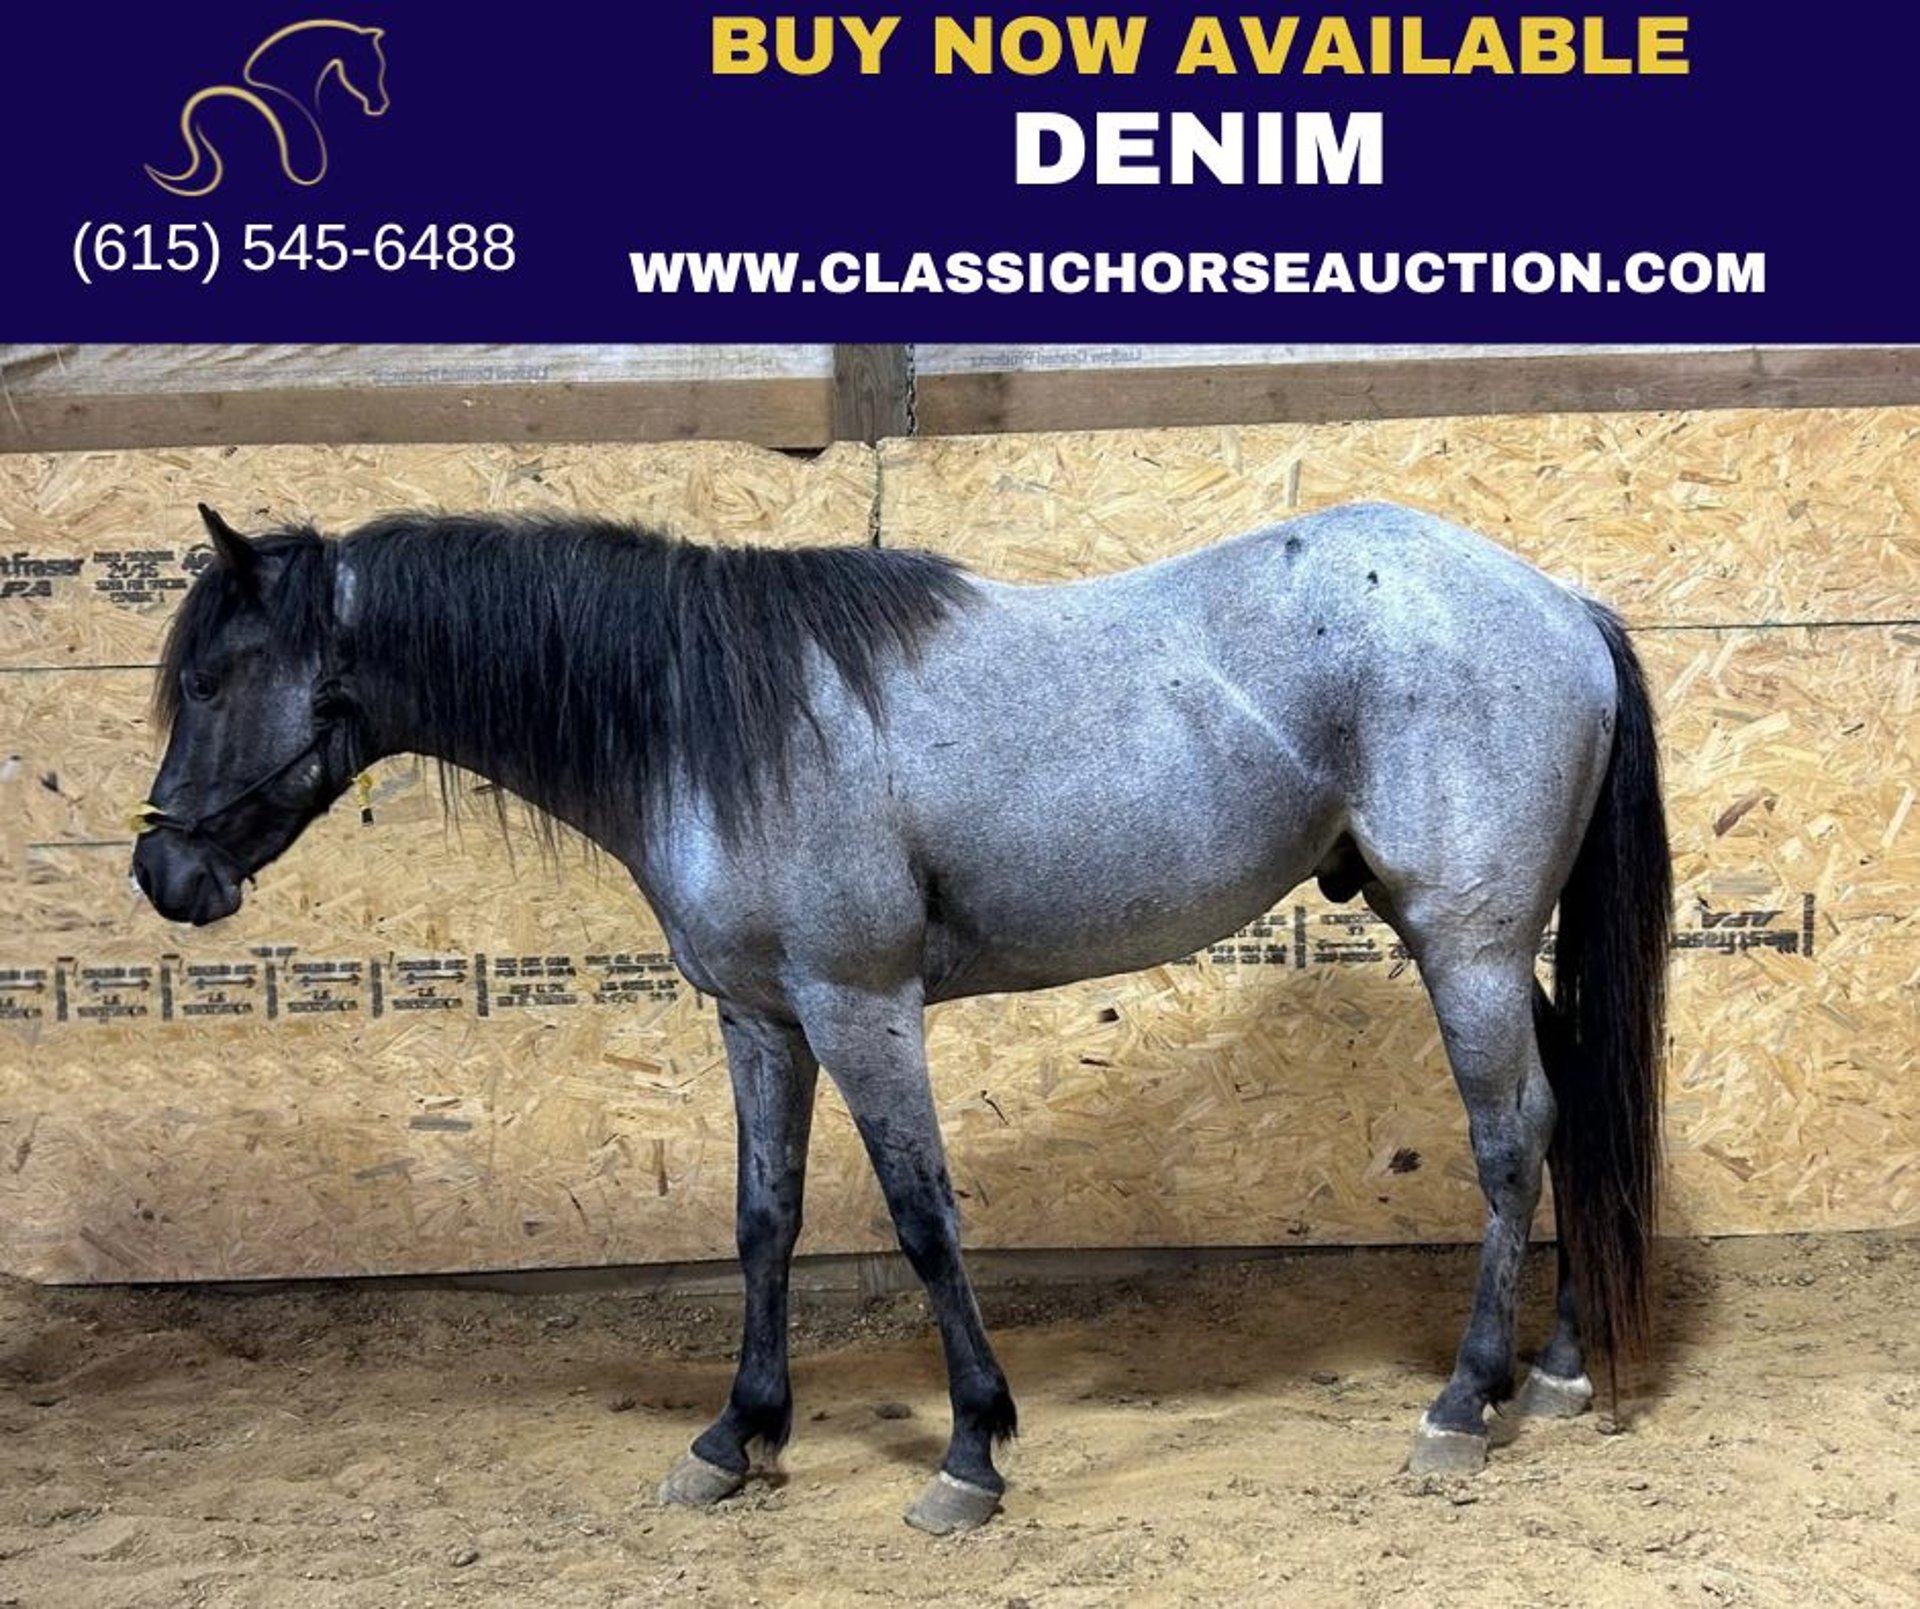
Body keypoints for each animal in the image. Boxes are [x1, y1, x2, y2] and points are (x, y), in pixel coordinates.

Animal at [133, 499, 1670, 1535]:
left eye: (210, 681)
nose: (166, 875)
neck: (728, 724)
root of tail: (1559, 600)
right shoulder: (761, 1021)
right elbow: (764, 1221)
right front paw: (736, 1438)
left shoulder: (859, 1006)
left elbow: (924, 1214)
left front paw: (971, 1452)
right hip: (1485, 946)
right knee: (1567, 1108)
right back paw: (1558, 1374)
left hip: (1464, 941)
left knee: (1509, 1137)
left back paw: (1463, 1405)